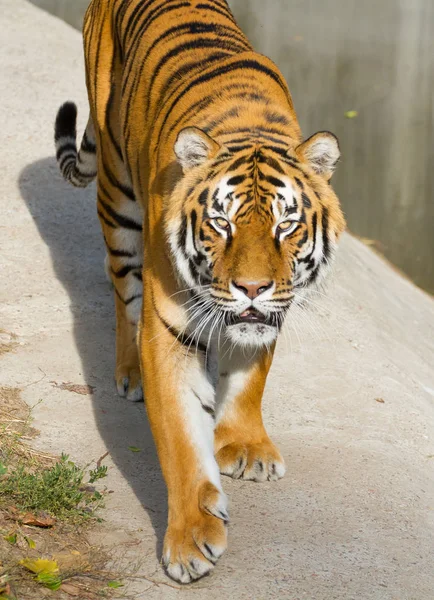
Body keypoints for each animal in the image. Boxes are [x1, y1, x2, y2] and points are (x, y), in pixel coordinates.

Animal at [55, 0, 346, 584]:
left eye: (285, 226)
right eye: (221, 223)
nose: (252, 286)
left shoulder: (268, 314)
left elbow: (251, 378)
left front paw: (248, 447)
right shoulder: (169, 328)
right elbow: (180, 438)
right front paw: (189, 541)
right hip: (118, 198)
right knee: (122, 291)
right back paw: (129, 372)